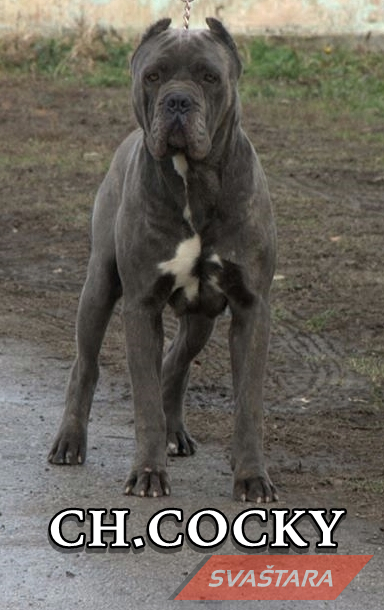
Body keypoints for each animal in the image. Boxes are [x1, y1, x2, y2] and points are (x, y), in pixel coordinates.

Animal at [48, 17, 278, 504]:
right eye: (153, 75)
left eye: (210, 76)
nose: (177, 100)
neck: (194, 181)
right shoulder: (141, 305)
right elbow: (146, 398)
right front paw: (148, 473)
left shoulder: (251, 308)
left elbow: (248, 402)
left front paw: (251, 476)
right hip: (100, 287)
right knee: (86, 364)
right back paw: (70, 441)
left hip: (202, 317)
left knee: (175, 361)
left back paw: (177, 434)